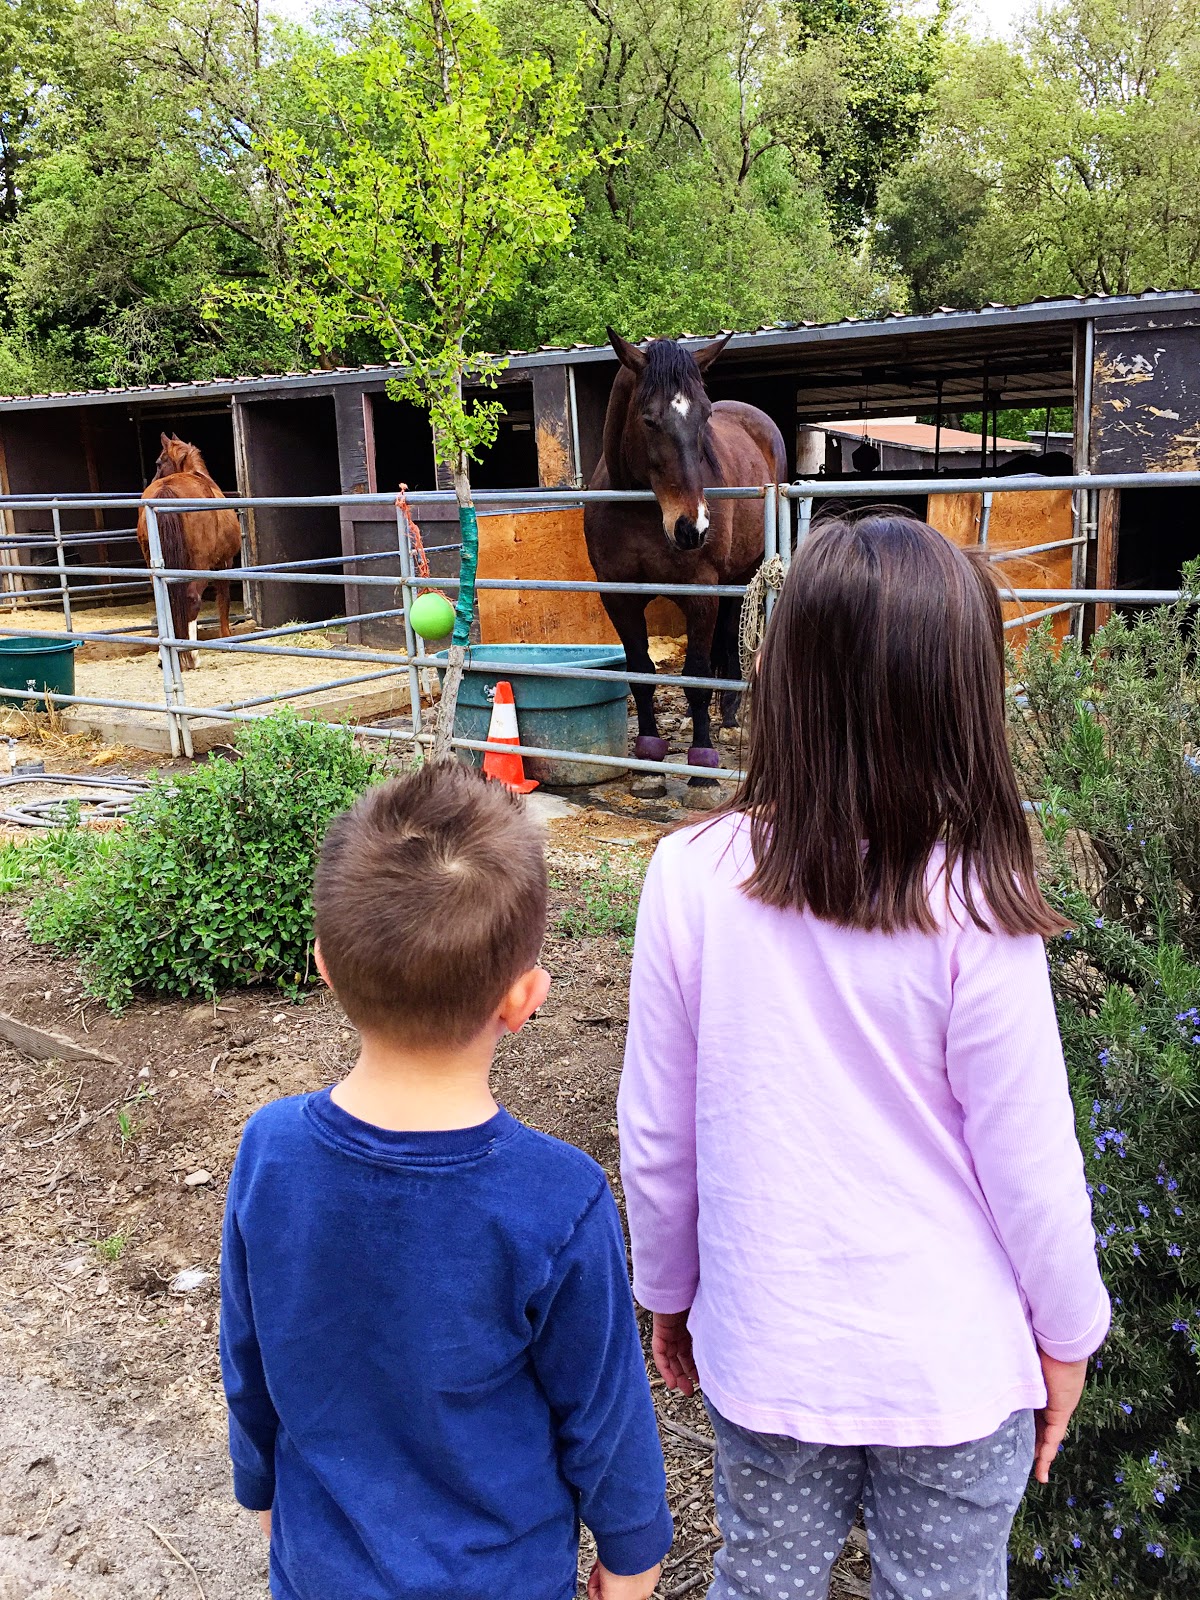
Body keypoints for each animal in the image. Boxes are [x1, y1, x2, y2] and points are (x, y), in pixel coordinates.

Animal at [137, 433, 242, 670]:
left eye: (158, 462)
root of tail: (166, 489)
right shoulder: (224, 564)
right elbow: (224, 599)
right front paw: (226, 636)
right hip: (199, 565)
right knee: (192, 599)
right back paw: (191, 655)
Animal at [583, 330, 787, 780]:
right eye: (648, 419)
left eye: (704, 417)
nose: (692, 528)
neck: (640, 510)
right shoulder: (619, 596)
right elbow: (641, 670)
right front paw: (648, 755)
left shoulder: (700, 592)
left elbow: (695, 672)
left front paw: (702, 758)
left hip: (739, 577)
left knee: (726, 641)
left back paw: (727, 720)